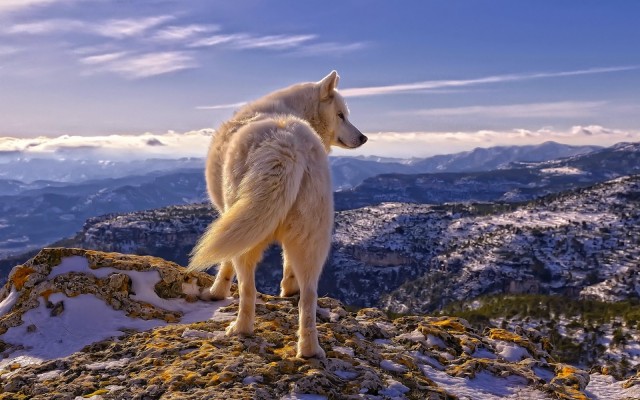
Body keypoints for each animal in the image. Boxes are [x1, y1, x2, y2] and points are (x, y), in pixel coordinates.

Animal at [187, 71, 367, 358]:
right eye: (341, 115)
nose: (363, 138)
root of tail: (287, 144)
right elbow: (287, 264)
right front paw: (288, 289)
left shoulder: (229, 216)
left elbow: (225, 264)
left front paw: (216, 292)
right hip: (312, 238)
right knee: (309, 295)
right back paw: (309, 349)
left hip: (248, 234)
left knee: (248, 289)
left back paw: (240, 329)